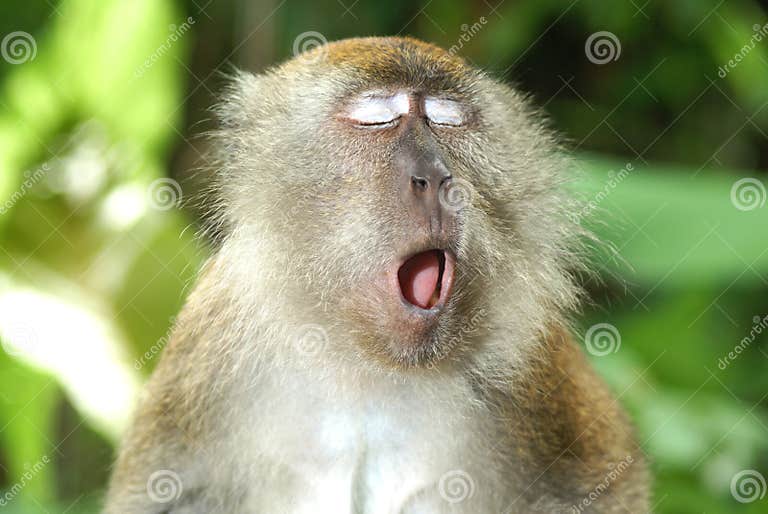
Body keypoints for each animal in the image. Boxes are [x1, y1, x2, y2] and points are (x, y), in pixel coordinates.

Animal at [104, 37, 650, 513]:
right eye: (377, 119)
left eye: (447, 119)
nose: (437, 177)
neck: (371, 368)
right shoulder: (209, 342)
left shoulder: (529, 356)